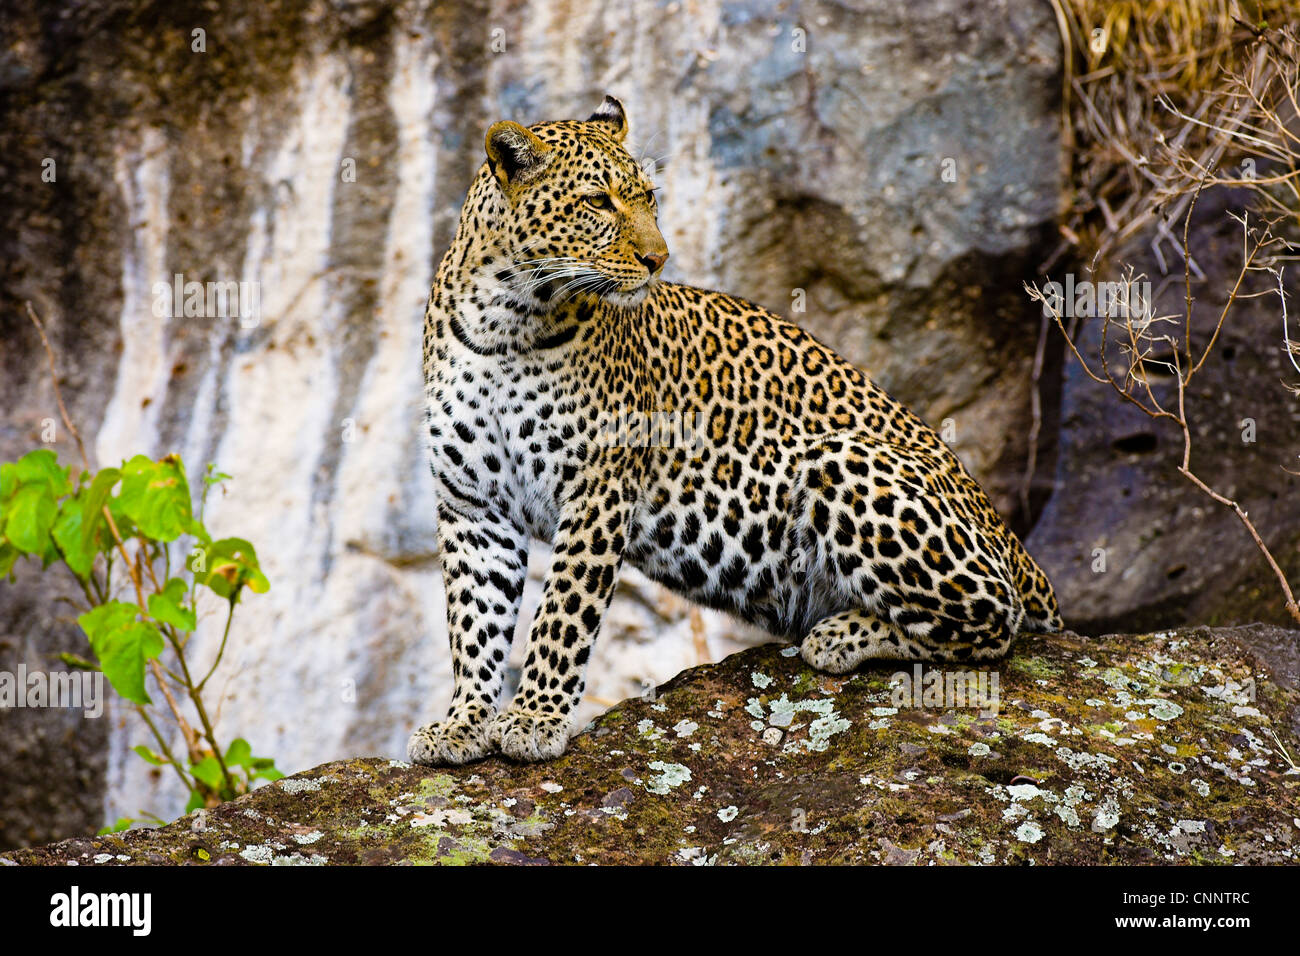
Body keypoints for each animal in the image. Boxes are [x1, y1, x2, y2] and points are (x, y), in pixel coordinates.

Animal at [407, 94, 1062, 766]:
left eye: (648, 198)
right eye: (598, 202)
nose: (658, 259)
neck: (505, 322)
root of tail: (1011, 539)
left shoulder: (596, 491)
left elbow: (562, 613)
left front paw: (535, 717)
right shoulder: (472, 506)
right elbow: (475, 625)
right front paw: (463, 722)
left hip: (843, 462)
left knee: (995, 620)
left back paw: (841, 636)